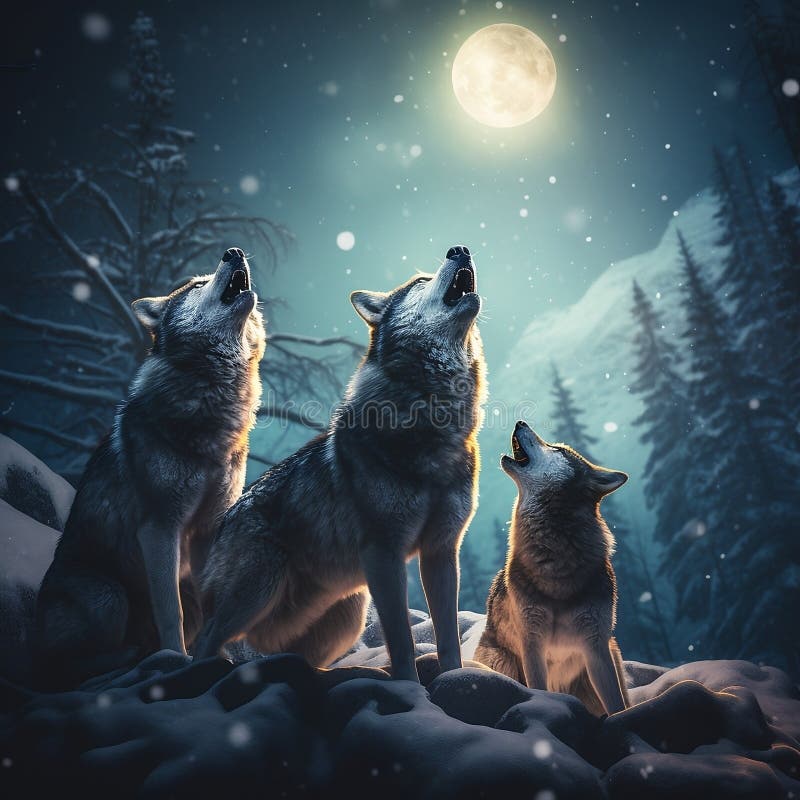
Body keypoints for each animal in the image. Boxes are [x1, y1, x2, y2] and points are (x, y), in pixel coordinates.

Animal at [33, 248, 266, 688]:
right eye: (196, 284)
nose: (235, 252)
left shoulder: (208, 528)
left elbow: (211, 602)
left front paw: (218, 658)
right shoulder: (160, 527)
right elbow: (169, 609)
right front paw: (176, 658)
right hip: (108, 597)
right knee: (58, 668)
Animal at [194, 245, 486, 682]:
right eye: (420, 281)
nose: (461, 249)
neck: (433, 418)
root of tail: (226, 518)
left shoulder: (441, 551)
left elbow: (448, 635)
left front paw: (453, 679)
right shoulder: (383, 553)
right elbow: (401, 640)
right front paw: (411, 688)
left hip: (346, 614)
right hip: (256, 590)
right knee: (206, 637)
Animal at [474, 421, 630, 716]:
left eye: (558, 449)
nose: (520, 422)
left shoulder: (596, 647)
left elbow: (616, 703)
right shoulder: (532, 644)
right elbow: (538, 689)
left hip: (612, 652)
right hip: (502, 661)